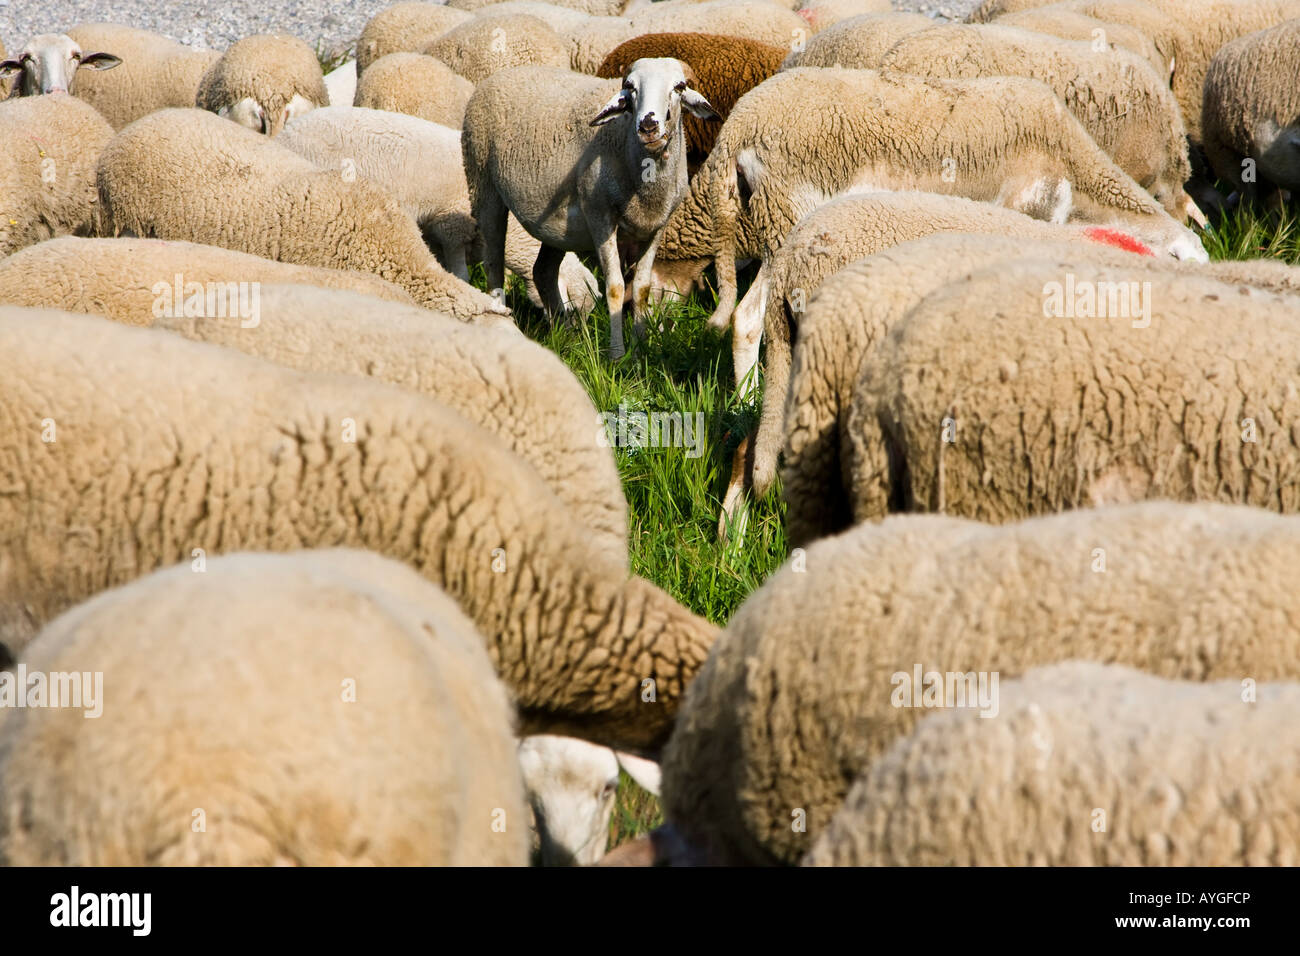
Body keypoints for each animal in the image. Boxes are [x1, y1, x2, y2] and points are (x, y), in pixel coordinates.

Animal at [463, 61, 719, 357]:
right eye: (631, 88)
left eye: (679, 87)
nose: (648, 126)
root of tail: (503, 73)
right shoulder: (600, 217)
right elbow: (616, 288)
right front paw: (618, 354)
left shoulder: (656, 227)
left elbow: (641, 288)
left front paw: (640, 349)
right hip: (484, 187)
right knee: (494, 265)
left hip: (557, 226)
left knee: (543, 271)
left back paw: (564, 334)